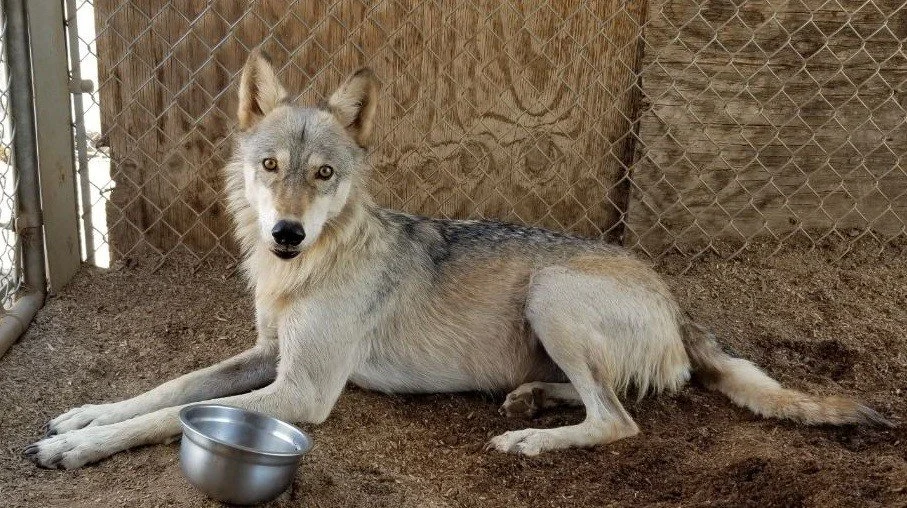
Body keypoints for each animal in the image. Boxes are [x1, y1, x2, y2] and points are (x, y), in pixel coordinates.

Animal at [25, 51, 891, 469]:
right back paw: (532, 401)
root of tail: (675, 301)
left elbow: (170, 415)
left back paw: (532, 441)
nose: (287, 234)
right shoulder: (267, 356)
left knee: (619, 421)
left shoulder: (301, 391)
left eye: (324, 174)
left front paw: (76, 450)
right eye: (270, 167)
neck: (302, 272)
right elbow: (167, 389)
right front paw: (84, 417)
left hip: (551, 294)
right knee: (612, 396)